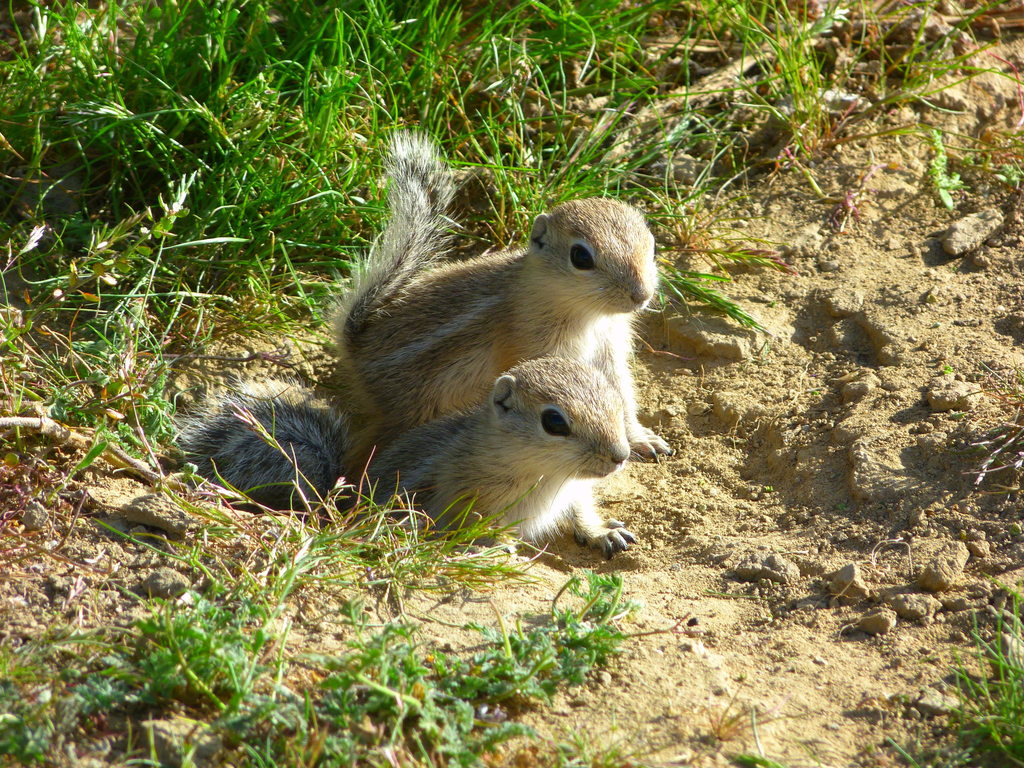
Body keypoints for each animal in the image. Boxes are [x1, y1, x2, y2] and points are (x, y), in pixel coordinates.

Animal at [178, 358, 636, 557]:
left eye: (614, 396)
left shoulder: (574, 493)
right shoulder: (468, 497)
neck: (550, 474)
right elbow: (470, 527)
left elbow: (582, 512)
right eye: (554, 422)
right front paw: (500, 545)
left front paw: (603, 533)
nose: (620, 456)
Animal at [335, 131, 672, 470]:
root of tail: (356, 346)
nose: (641, 295)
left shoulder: (610, 347)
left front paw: (642, 438)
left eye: (653, 246)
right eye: (581, 256)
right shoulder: (539, 344)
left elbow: (619, 392)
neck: (590, 315)